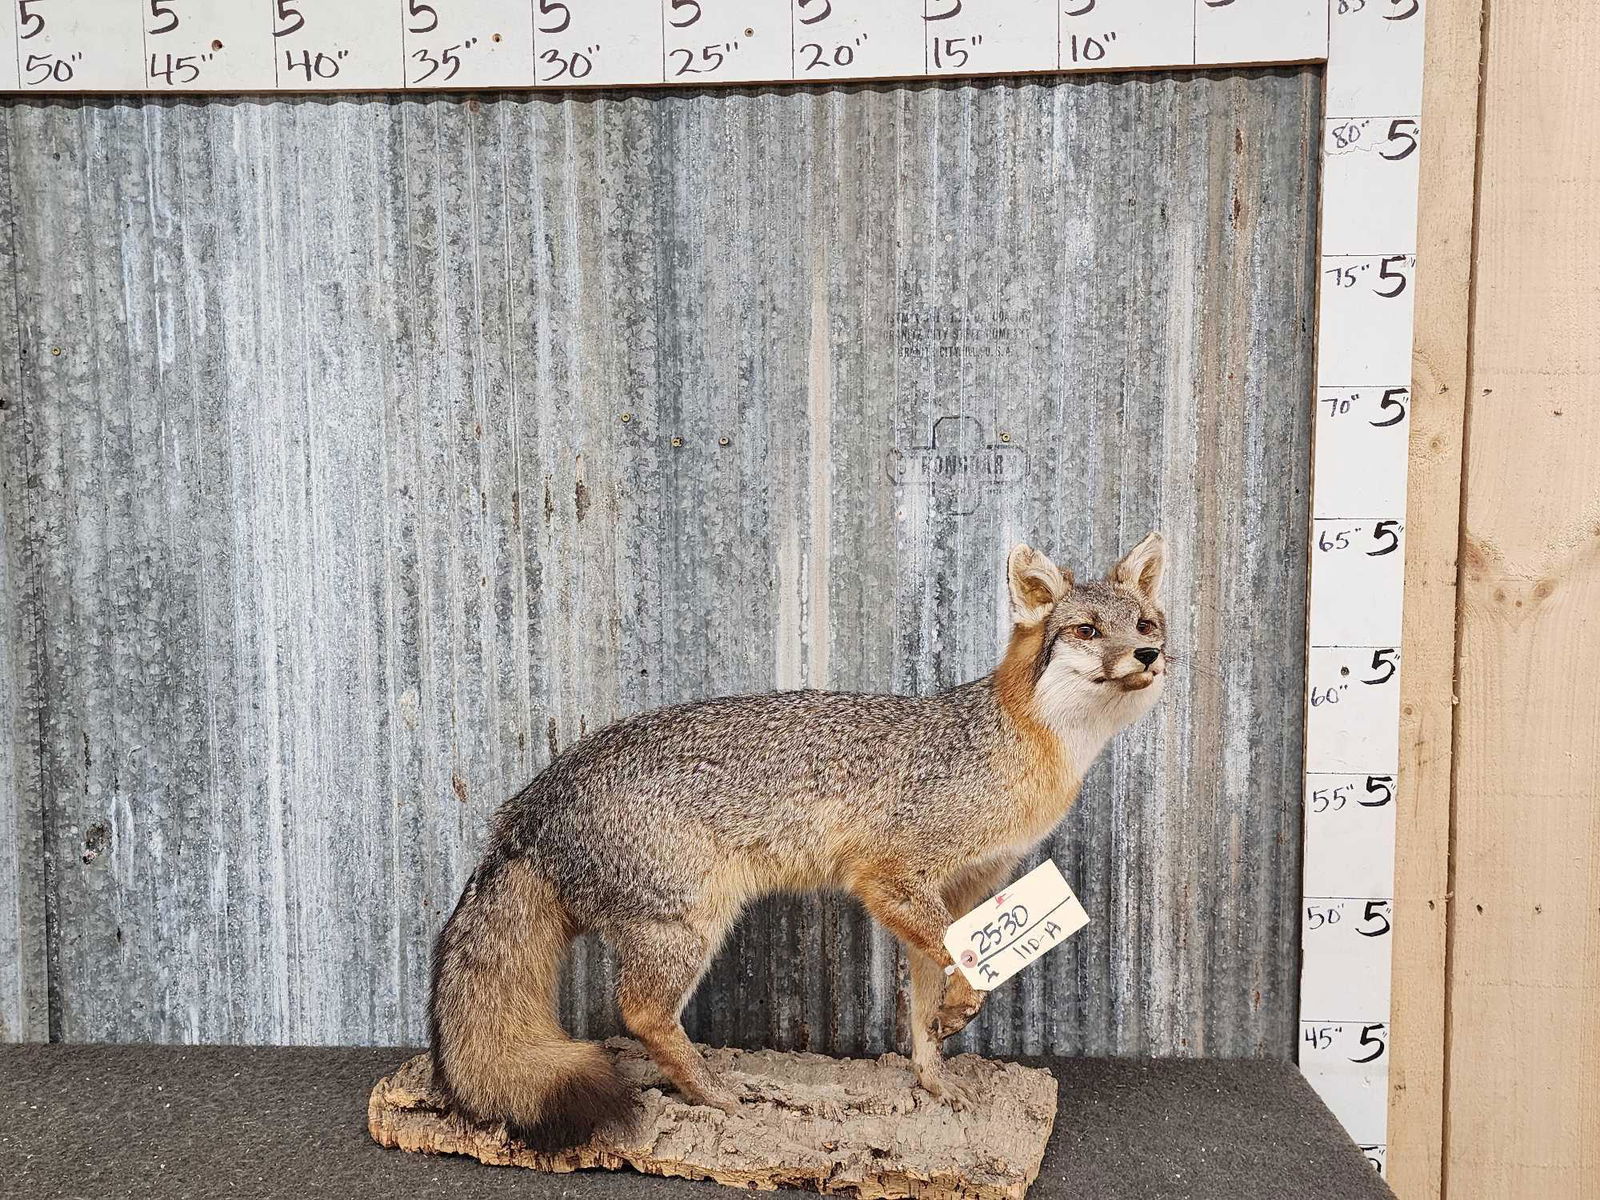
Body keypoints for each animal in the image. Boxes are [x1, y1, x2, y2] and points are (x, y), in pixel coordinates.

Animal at [428, 533, 1170, 1148]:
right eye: (1085, 630)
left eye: (1143, 624)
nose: (1150, 654)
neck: (1022, 742)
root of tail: (530, 800)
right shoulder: (890, 876)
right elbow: (959, 959)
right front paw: (964, 1005)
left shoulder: (962, 888)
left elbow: (925, 1001)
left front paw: (934, 1080)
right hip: (688, 927)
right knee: (641, 1013)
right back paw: (717, 1095)